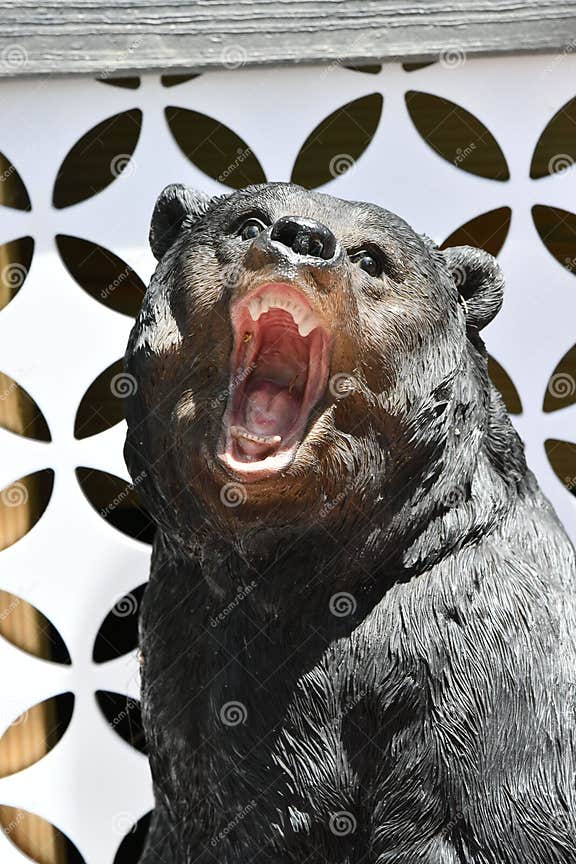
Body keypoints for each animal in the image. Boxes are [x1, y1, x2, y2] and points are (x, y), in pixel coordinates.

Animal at [123, 182, 576, 863]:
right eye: (248, 220)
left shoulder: (481, 668)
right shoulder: (184, 651)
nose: (303, 237)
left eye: (372, 258)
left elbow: (462, 821)